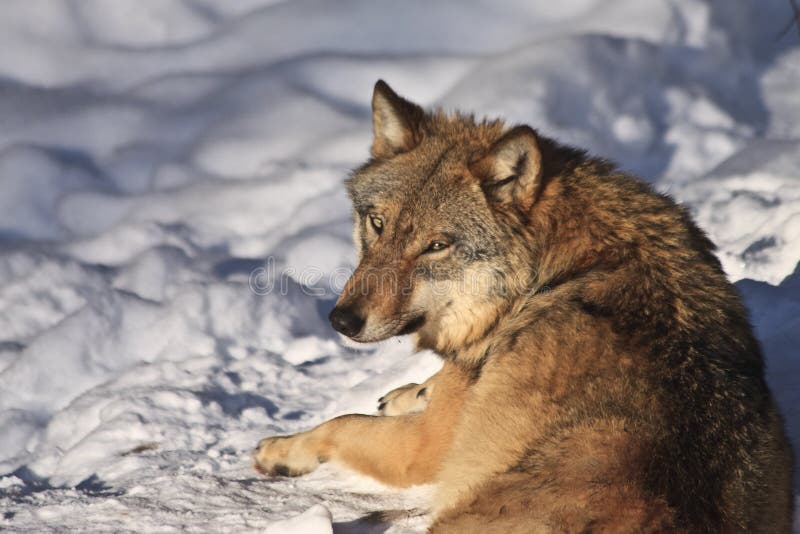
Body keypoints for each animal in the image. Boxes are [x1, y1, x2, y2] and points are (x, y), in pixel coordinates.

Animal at [254, 80, 794, 532]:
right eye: (378, 224)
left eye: (436, 246)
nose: (340, 320)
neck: (546, 277)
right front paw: (414, 389)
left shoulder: (425, 447)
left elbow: (342, 423)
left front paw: (280, 450)